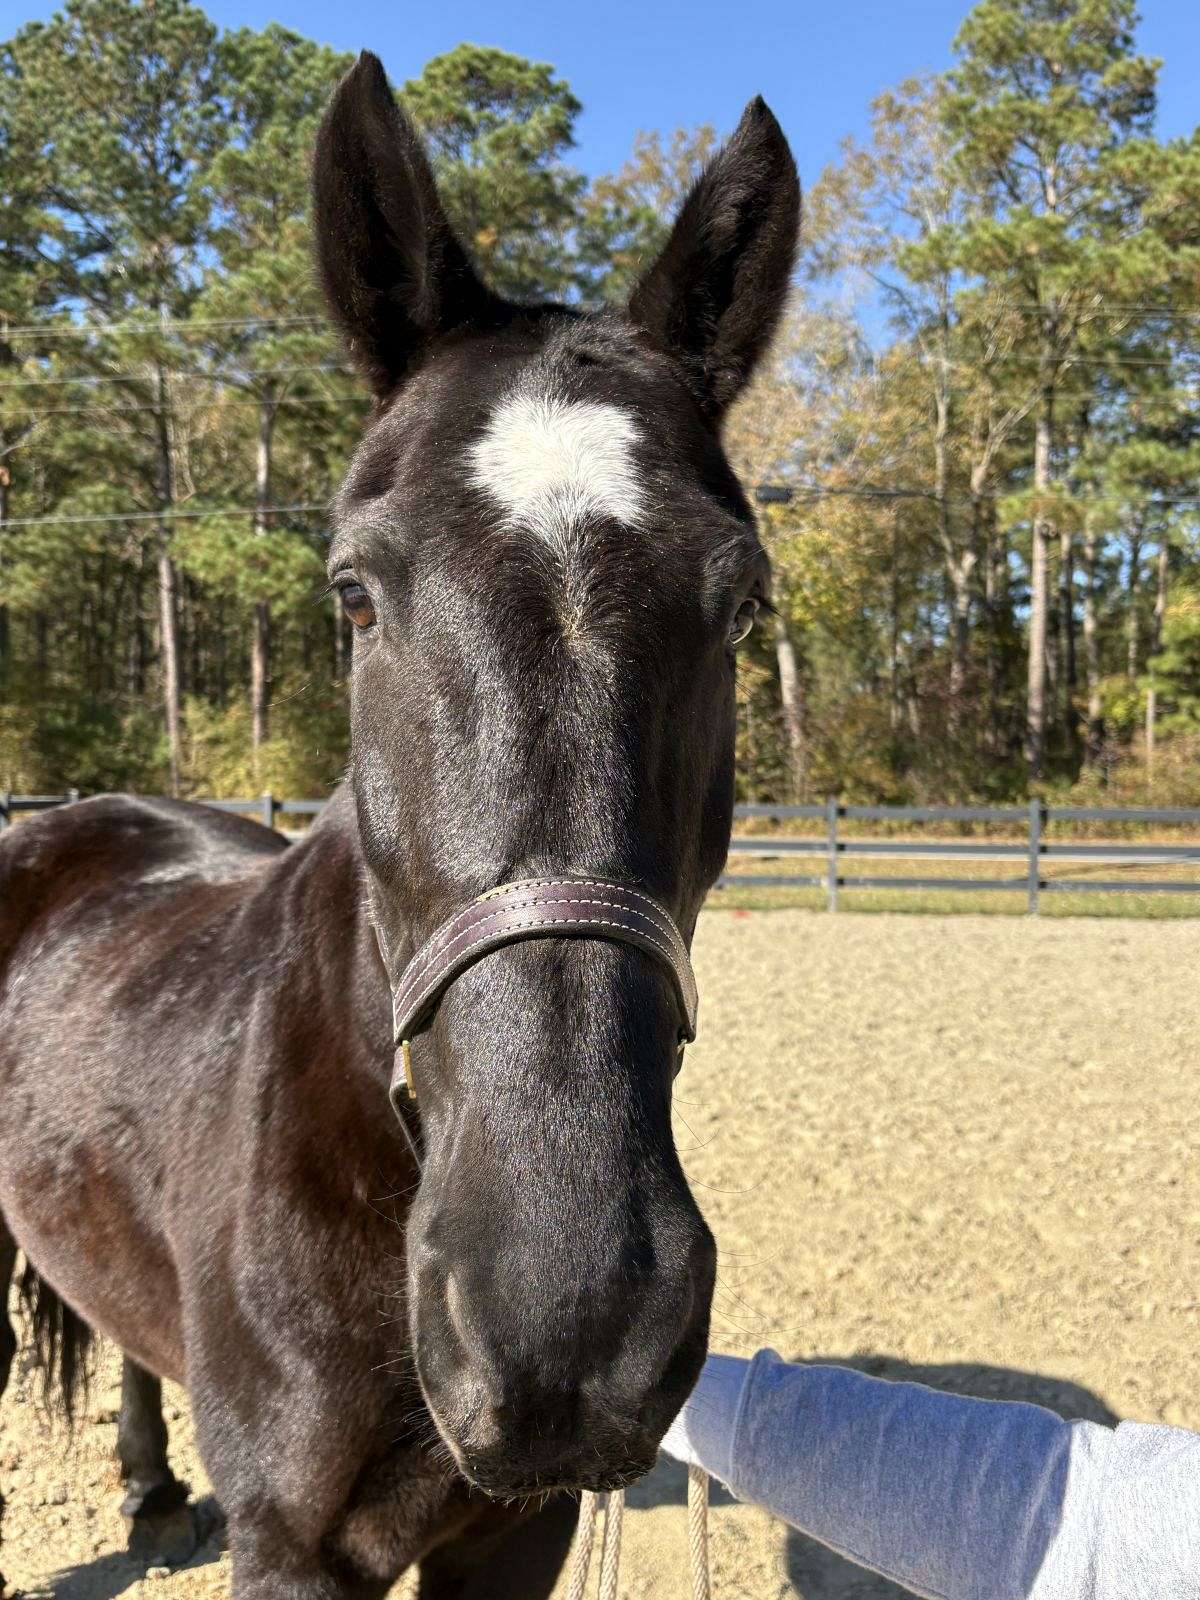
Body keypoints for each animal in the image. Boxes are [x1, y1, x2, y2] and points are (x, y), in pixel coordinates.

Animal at [0, 51, 798, 1599]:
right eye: (354, 592)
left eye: (745, 605)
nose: (565, 1322)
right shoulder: (294, 1544)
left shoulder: (518, 1528)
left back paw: (151, 1492)